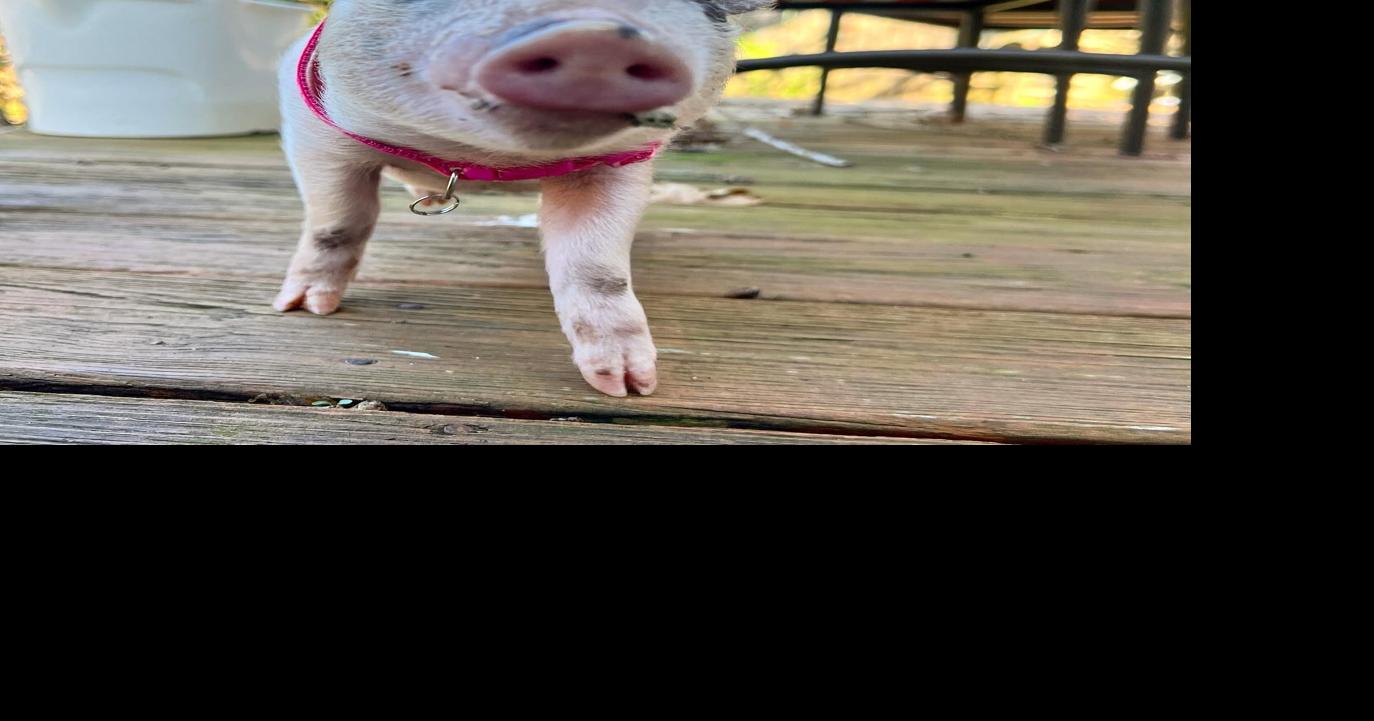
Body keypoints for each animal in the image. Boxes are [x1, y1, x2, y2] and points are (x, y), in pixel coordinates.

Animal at [274, 0, 773, 397]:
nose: (595, 38)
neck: (488, 161)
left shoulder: (621, 162)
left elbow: (595, 266)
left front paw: (630, 388)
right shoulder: (316, 128)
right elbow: (339, 220)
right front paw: (304, 309)